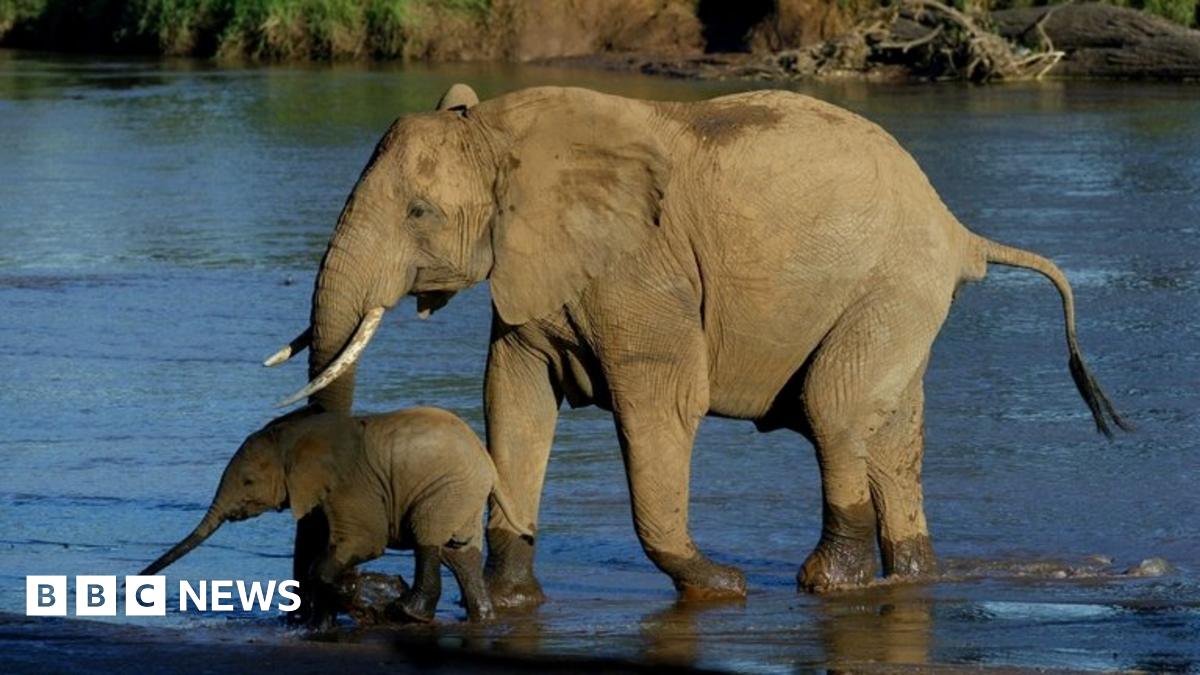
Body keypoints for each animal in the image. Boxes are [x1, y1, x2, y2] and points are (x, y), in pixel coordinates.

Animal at [138, 406, 529, 624]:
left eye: (248, 481)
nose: (135, 584)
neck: (295, 436)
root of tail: (487, 463)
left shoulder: (352, 484)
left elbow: (364, 542)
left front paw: (352, 603)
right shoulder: (316, 492)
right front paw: (319, 623)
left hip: (447, 487)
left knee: (428, 539)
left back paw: (406, 613)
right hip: (462, 493)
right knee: (459, 554)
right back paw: (482, 618)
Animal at [263, 84, 1128, 605]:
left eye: (417, 212)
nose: (350, 591)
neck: (504, 129)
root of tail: (958, 230)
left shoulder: (642, 270)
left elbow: (661, 403)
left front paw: (719, 585)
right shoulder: (534, 274)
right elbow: (513, 399)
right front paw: (512, 599)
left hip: (894, 288)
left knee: (834, 408)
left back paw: (826, 584)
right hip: (898, 300)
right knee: (891, 436)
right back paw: (910, 574)